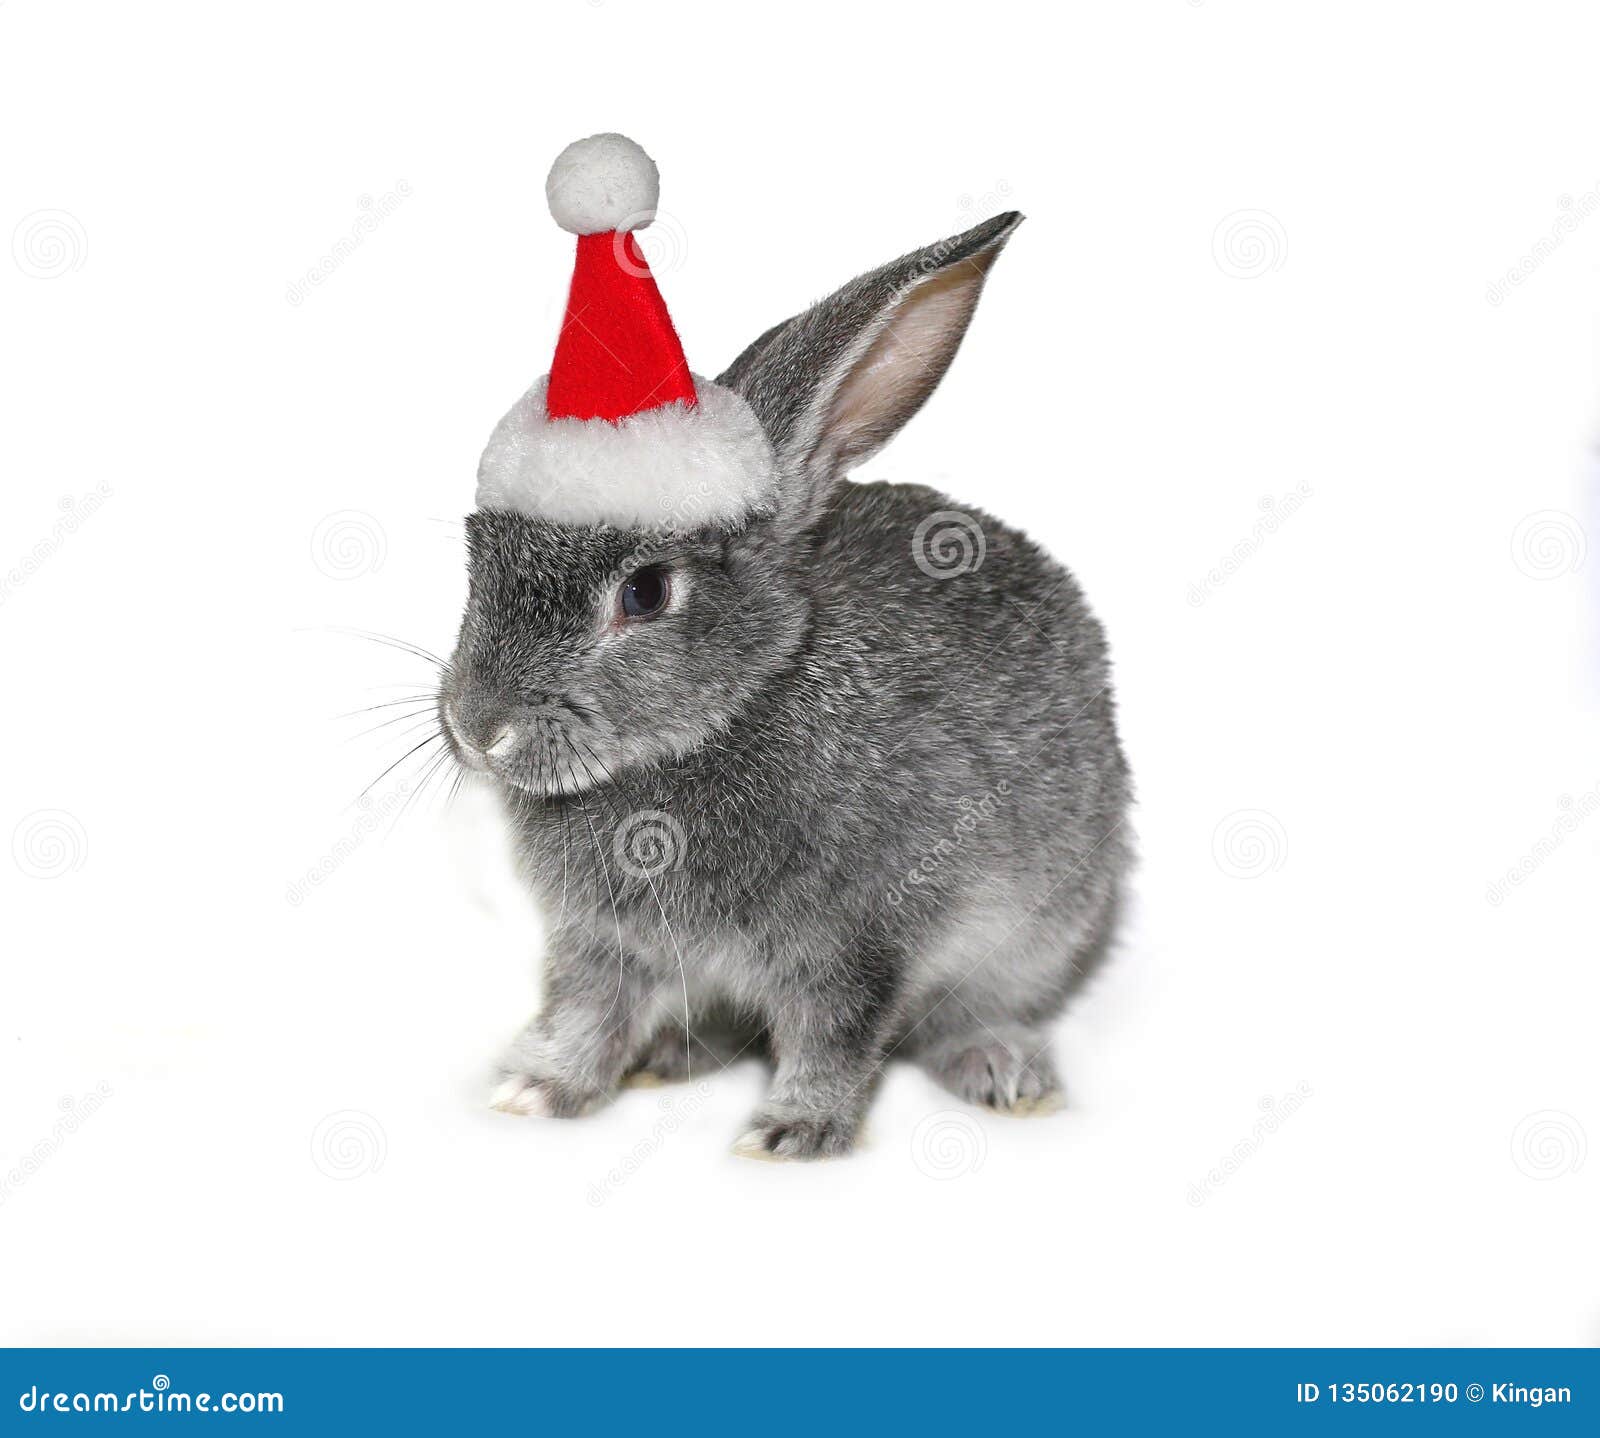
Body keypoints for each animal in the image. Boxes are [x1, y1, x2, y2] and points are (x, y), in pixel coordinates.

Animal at [440, 207, 1132, 1160]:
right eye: (478, 552)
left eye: (645, 592)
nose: (477, 727)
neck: (736, 708)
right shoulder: (604, 944)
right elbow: (584, 1014)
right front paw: (535, 1093)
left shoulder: (858, 941)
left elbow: (832, 1036)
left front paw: (787, 1136)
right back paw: (668, 1055)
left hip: (1042, 924)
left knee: (970, 1014)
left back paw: (1002, 1071)